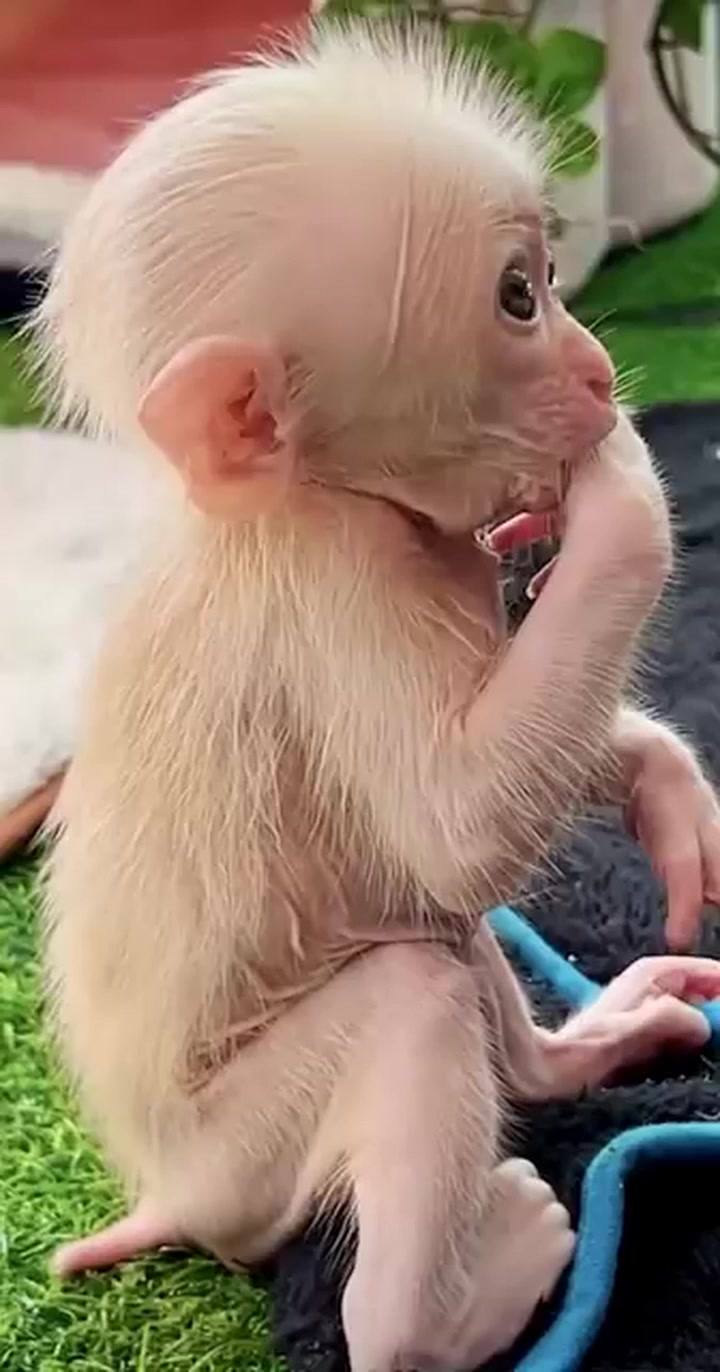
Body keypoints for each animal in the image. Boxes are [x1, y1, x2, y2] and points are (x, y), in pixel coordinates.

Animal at [34, 21, 720, 1372]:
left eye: (551, 274)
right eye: (519, 298)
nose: (600, 371)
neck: (324, 498)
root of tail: (167, 1197)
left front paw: (655, 774)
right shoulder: (337, 582)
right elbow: (459, 824)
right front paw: (625, 491)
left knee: (434, 928)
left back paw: (572, 1056)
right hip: (248, 1154)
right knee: (414, 987)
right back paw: (436, 1317)